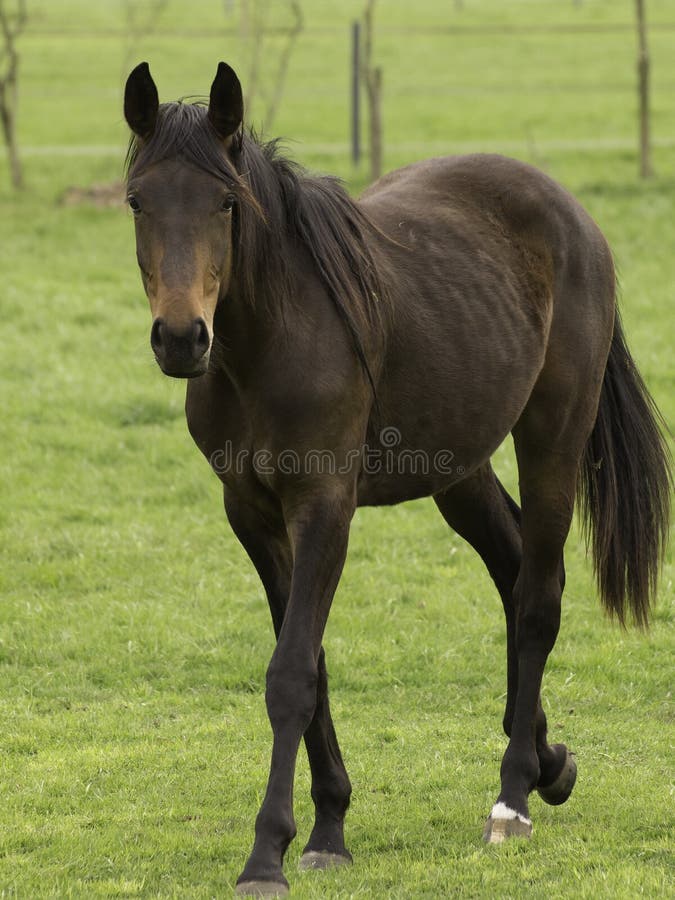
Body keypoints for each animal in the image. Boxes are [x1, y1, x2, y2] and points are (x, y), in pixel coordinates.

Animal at [123, 61, 671, 897]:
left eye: (226, 203)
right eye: (137, 202)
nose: (182, 338)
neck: (271, 341)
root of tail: (569, 212)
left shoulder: (324, 507)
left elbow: (290, 674)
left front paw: (267, 853)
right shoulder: (251, 514)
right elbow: (308, 664)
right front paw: (329, 825)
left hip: (552, 435)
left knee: (537, 598)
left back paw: (513, 796)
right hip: (459, 467)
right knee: (512, 568)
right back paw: (548, 761)